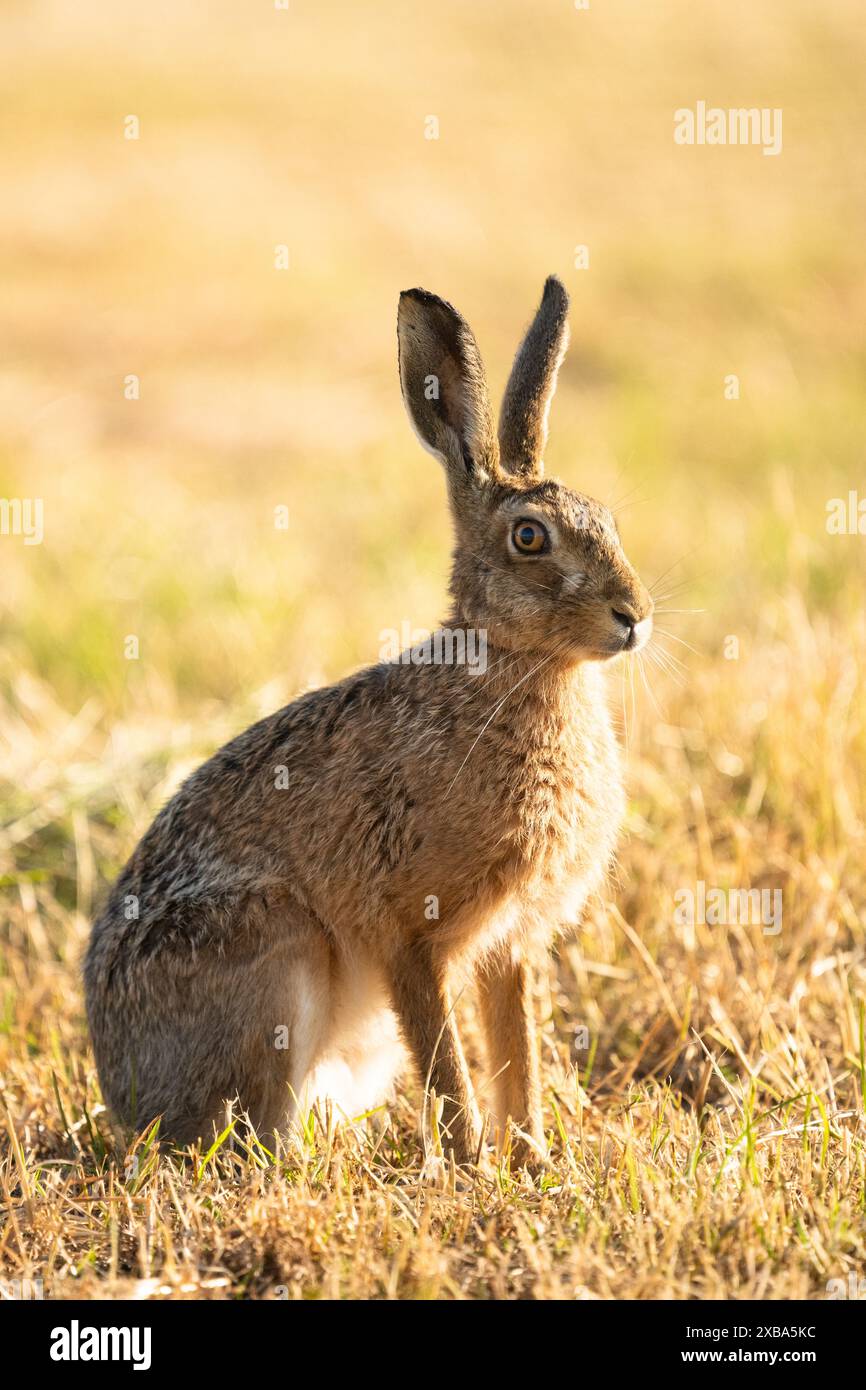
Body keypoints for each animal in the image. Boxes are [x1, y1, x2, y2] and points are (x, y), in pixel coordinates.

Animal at [84, 275, 653, 1167]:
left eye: (608, 521)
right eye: (530, 537)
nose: (634, 616)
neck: (516, 666)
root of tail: (124, 1095)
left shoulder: (511, 943)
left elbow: (515, 1053)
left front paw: (531, 1158)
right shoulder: (409, 933)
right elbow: (446, 1060)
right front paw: (472, 1165)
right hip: (273, 953)